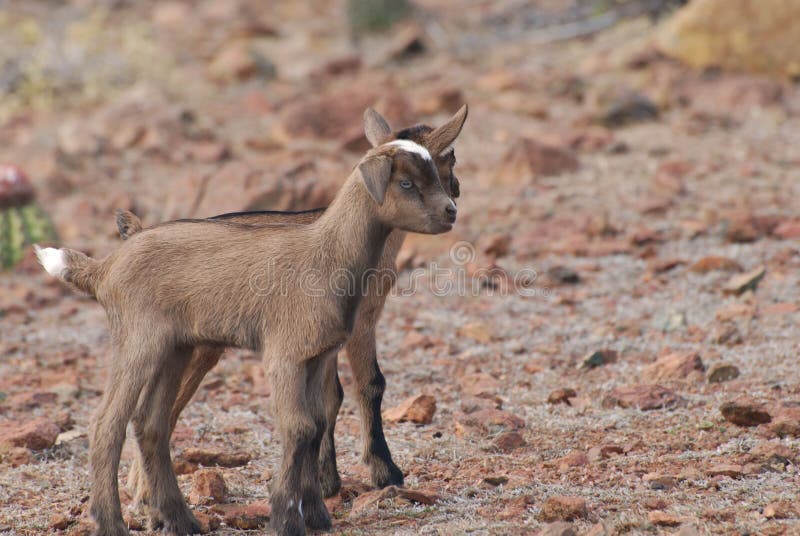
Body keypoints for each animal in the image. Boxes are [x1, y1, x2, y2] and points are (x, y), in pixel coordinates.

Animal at [35, 108, 467, 536]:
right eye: (406, 182)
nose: (451, 210)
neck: (326, 252)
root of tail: (105, 267)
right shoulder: (285, 354)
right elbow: (300, 427)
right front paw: (288, 519)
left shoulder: (317, 354)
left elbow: (314, 424)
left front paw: (316, 514)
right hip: (139, 340)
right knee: (107, 423)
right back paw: (112, 522)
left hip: (176, 347)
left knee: (151, 423)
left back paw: (180, 519)